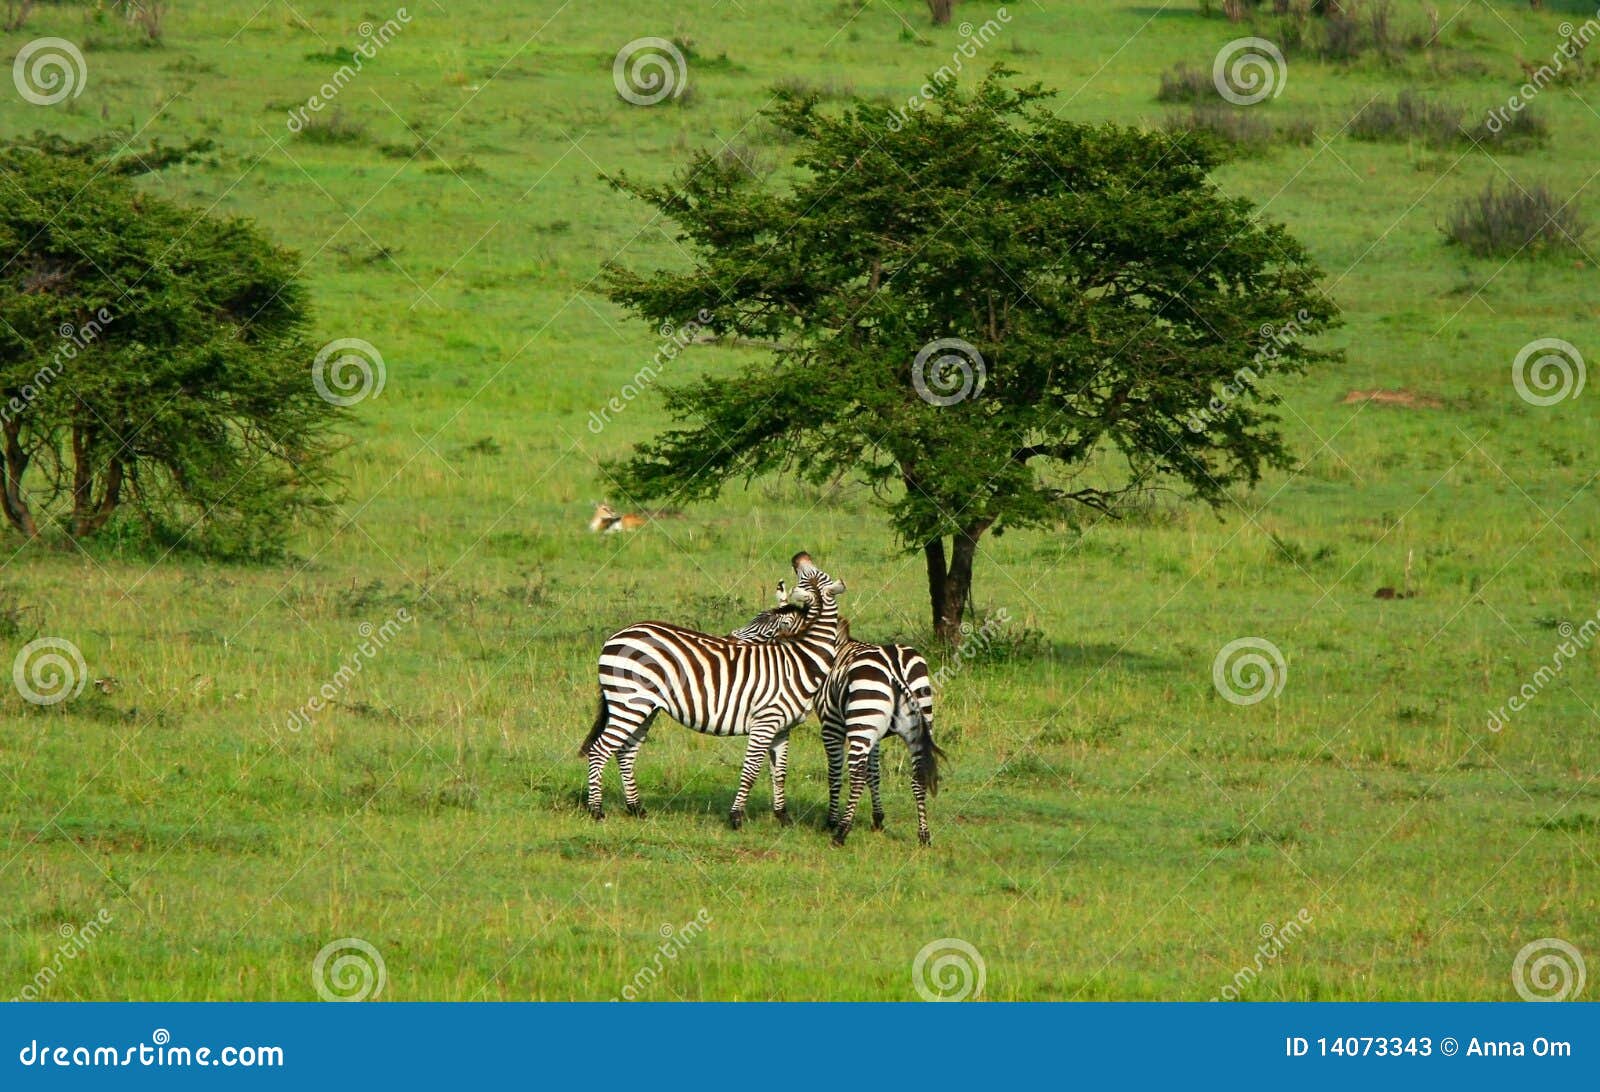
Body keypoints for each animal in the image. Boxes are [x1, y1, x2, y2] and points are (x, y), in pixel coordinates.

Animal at [583, 554, 845, 828]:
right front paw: (736, 817)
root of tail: (616, 635)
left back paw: (636, 808)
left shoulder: (782, 728)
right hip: (630, 702)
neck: (798, 661)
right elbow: (750, 771)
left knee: (625, 752)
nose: (728, 639)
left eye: (767, 631)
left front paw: (783, 816)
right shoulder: (765, 722)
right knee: (599, 750)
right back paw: (596, 811)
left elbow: (779, 773)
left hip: (644, 707)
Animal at [816, 619, 942, 846]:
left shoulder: (832, 726)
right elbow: (873, 773)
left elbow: (835, 774)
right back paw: (924, 836)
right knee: (918, 775)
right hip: (917, 720)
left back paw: (841, 832)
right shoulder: (874, 735)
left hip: (863, 718)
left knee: (856, 777)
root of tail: (895, 665)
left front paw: (831, 821)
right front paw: (878, 819)